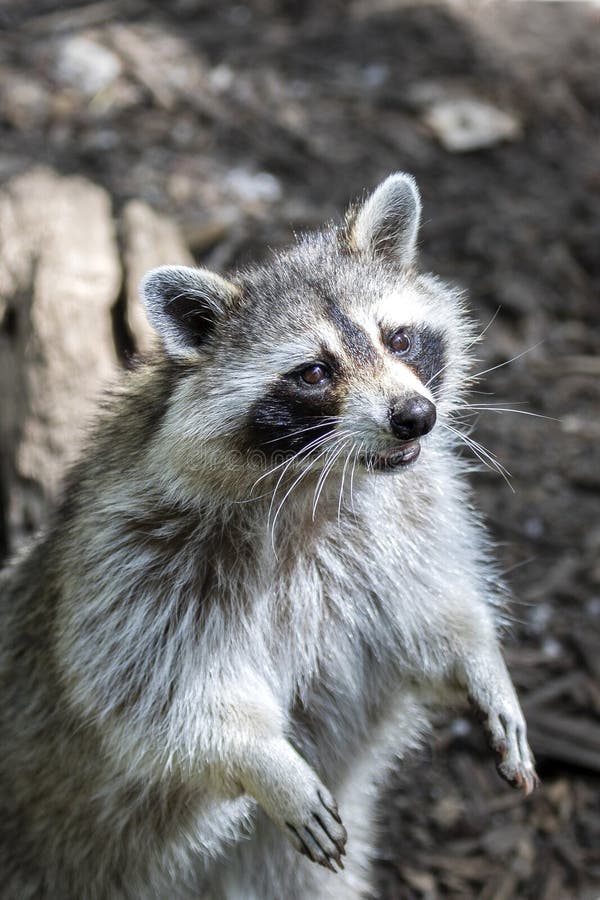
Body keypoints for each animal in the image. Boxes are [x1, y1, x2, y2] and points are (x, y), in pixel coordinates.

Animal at [0, 174, 537, 899]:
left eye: (398, 339)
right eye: (314, 372)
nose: (415, 417)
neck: (317, 485)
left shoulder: (403, 521)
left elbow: (426, 616)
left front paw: (482, 661)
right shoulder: (136, 558)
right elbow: (154, 696)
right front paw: (261, 758)